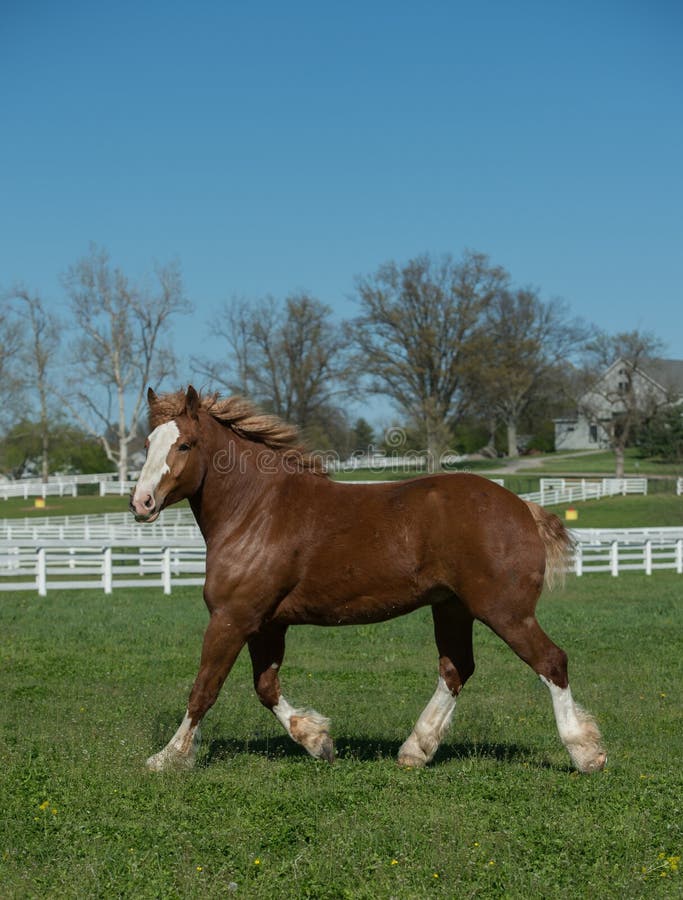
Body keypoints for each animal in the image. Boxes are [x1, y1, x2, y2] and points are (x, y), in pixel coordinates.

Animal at [130, 385, 606, 775]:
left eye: (185, 444)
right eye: (148, 443)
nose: (141, 503)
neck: (256, 511)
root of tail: (524, 508)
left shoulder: (232, 618)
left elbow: (204, 688)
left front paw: (167, 758)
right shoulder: (267, 624)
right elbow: (265, 688)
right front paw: (318, 741)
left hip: (505, 611)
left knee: (551, 662)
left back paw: (586, 754)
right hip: (452, 608)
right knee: (456, 669)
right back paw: (415, 750)